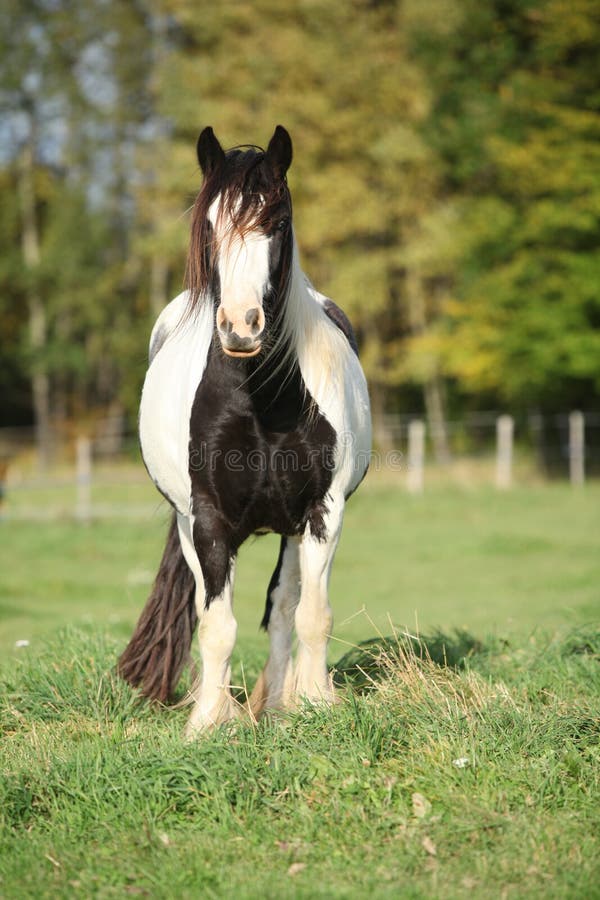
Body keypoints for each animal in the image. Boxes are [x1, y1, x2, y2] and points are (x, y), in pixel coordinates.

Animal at [118, 125, 371, 736]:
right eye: (210, 223)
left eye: (276, 223)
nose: (240, 326)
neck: (259, 403)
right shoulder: (205, 520)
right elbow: (217, 624)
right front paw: (210, 722)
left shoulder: (322, 511)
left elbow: (310, 615)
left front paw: (312, 705)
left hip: (290, 528)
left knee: (284, 606)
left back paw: (278, 702)